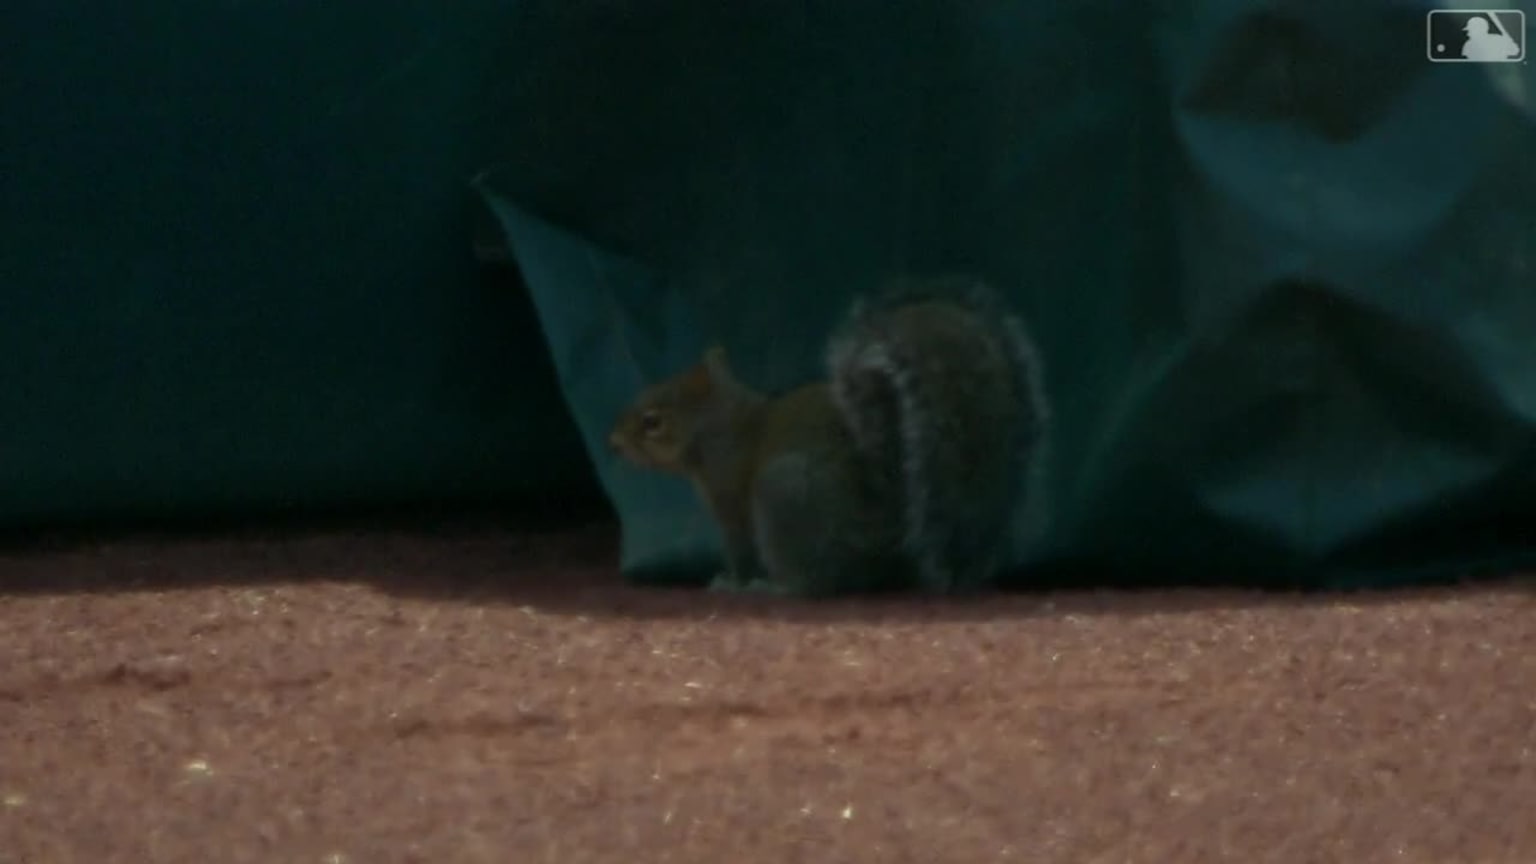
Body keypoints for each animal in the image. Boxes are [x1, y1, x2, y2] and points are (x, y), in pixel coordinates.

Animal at [607, 275, 1050, 597]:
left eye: (652, 421)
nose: (613, 443)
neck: (720, 427)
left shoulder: (731, 498)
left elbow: (740, 551)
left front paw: (731, 582)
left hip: (783, 494)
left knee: (813, 582)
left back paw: (772, 588)